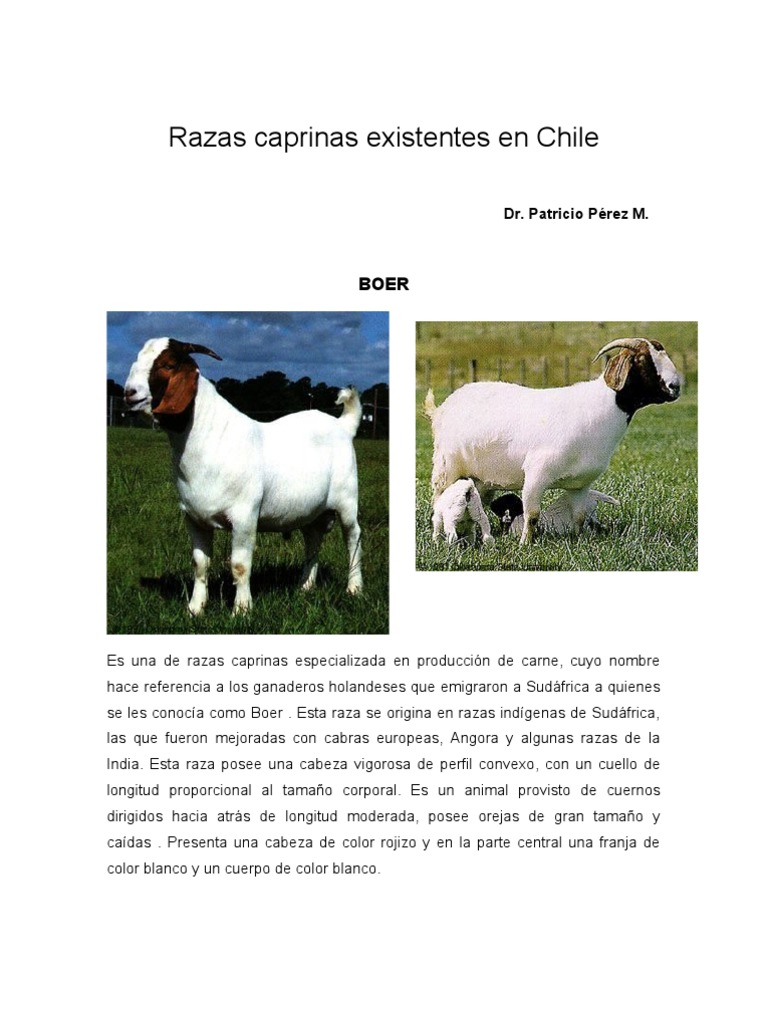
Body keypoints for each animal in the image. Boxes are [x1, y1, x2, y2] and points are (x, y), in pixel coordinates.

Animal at [123, 338, 363, 615]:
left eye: (169, 364)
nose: (129, 393)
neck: (209, 438)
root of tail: (343, 425)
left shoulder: (245, 515)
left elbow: (239, 565)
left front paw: (242, 610)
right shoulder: (194, 517)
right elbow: (199, 565)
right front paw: (195, 609)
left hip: (347, 499)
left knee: (353, 538)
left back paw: (354, 589)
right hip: (311, 510)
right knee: (313, 541)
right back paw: (305, 586)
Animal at [426, 338, 680, 545]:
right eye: (642, 359)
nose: (675, 388)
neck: (601, 408)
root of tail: (441, 409)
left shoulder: (580, 484)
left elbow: (579, 516)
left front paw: (578, 539)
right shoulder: (536, 473)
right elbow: (532, 515)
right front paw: (525, 545)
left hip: (480, 479)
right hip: (446, 469)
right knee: (438, 502)